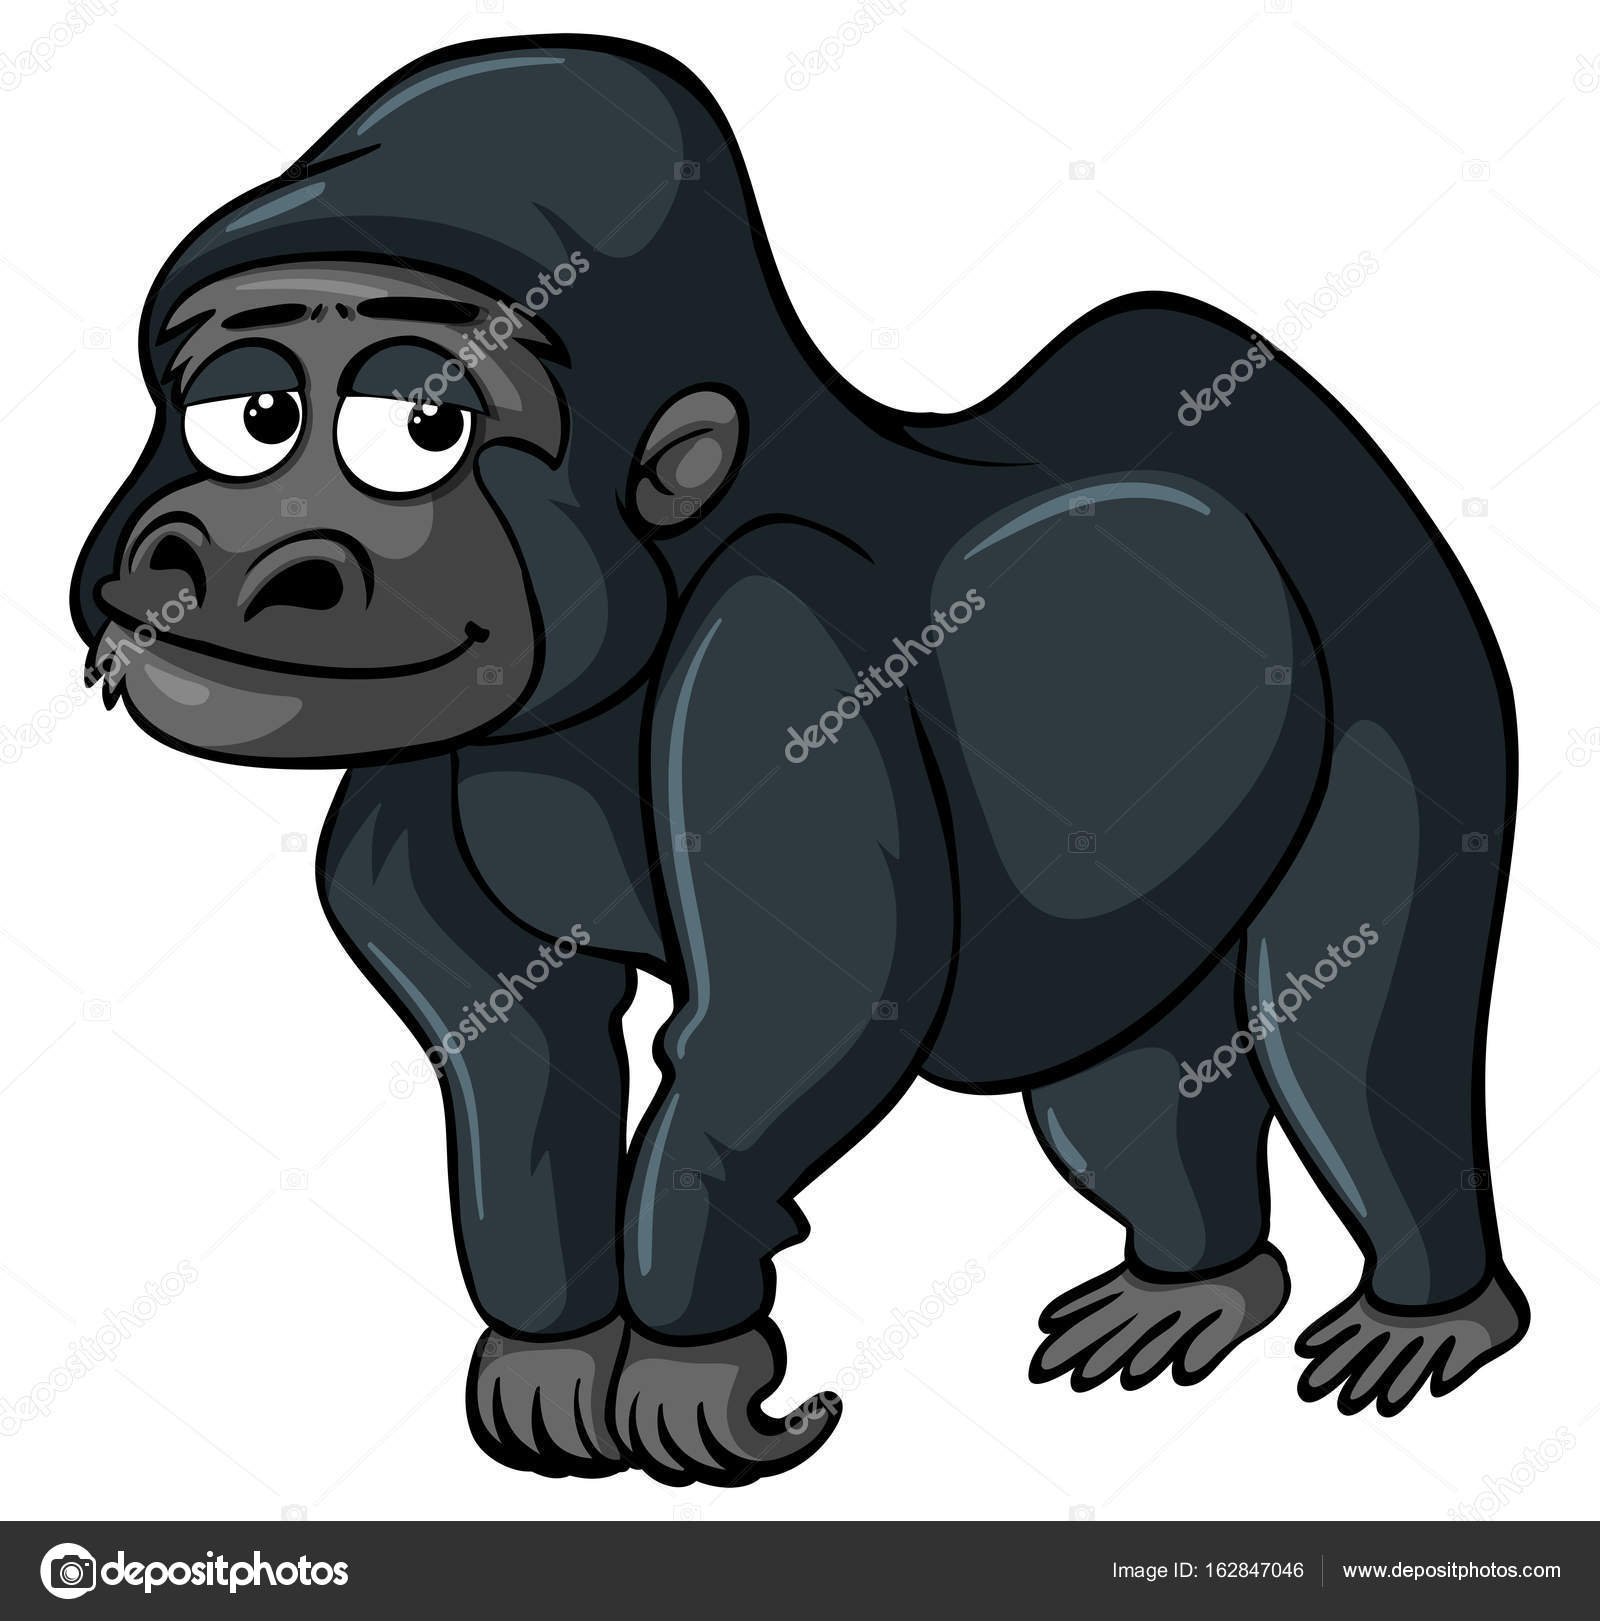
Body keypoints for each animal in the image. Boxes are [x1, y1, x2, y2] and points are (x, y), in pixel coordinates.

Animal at [71, 37, 1528, 1487]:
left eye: (420, 430)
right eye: (252, 415)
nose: (238, 554)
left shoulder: (776, 644)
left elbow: (789, 1019)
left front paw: (688, 1360)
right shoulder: (425, 748)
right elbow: (523, 1055)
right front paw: (549, 1359)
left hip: (1405, 628)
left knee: (1352, 1030)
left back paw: (1432, 1316)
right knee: (1117, 1086)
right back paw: (1197, 1287)